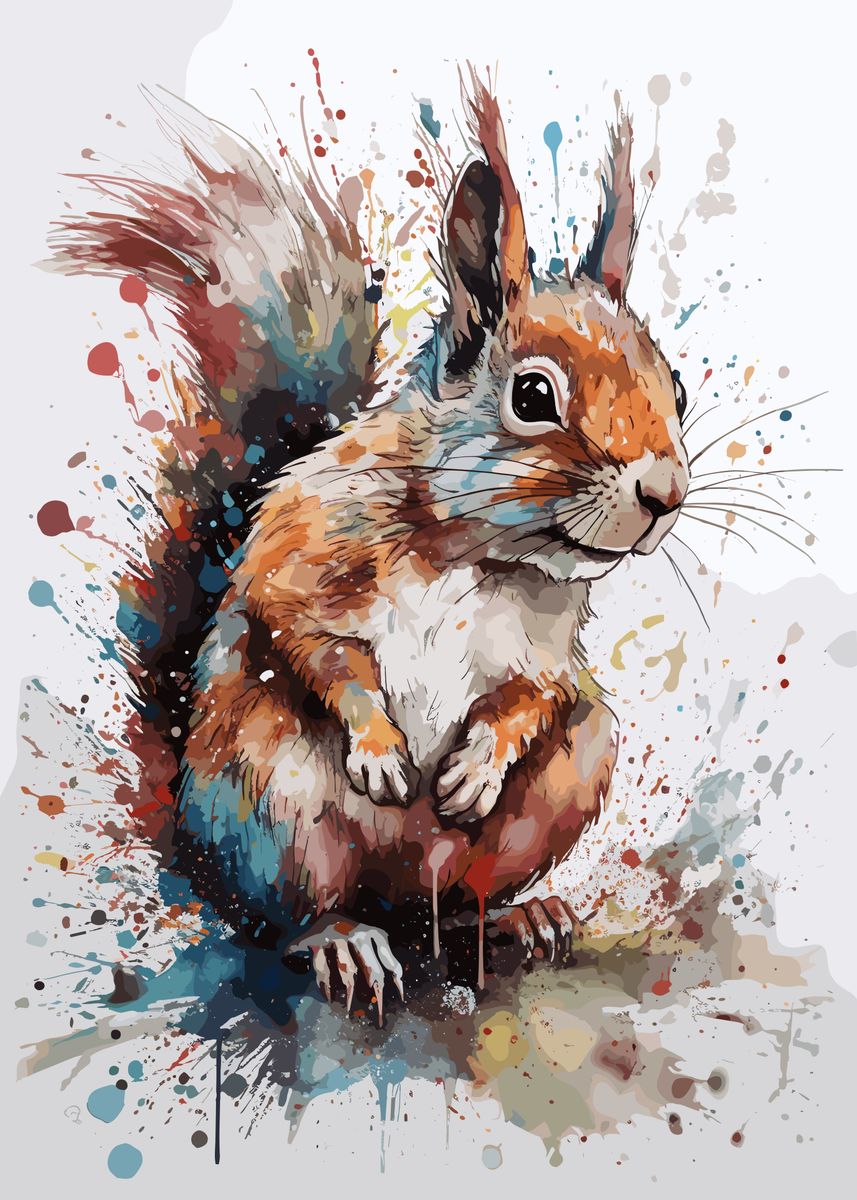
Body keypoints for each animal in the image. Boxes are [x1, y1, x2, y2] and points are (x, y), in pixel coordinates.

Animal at [49, 74, 690, 1020]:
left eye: (673, 383)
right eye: (532, 396)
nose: (664, 495)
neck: (479, 554)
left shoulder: (544, 650)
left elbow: (532, 695)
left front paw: (474, 767)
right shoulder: (301, 549)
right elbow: (310, 641)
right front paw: (383, 751)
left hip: (570, 771)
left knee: (456, 903)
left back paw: (517, 916)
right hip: (270, 799)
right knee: (287, 918)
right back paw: (342, 940)